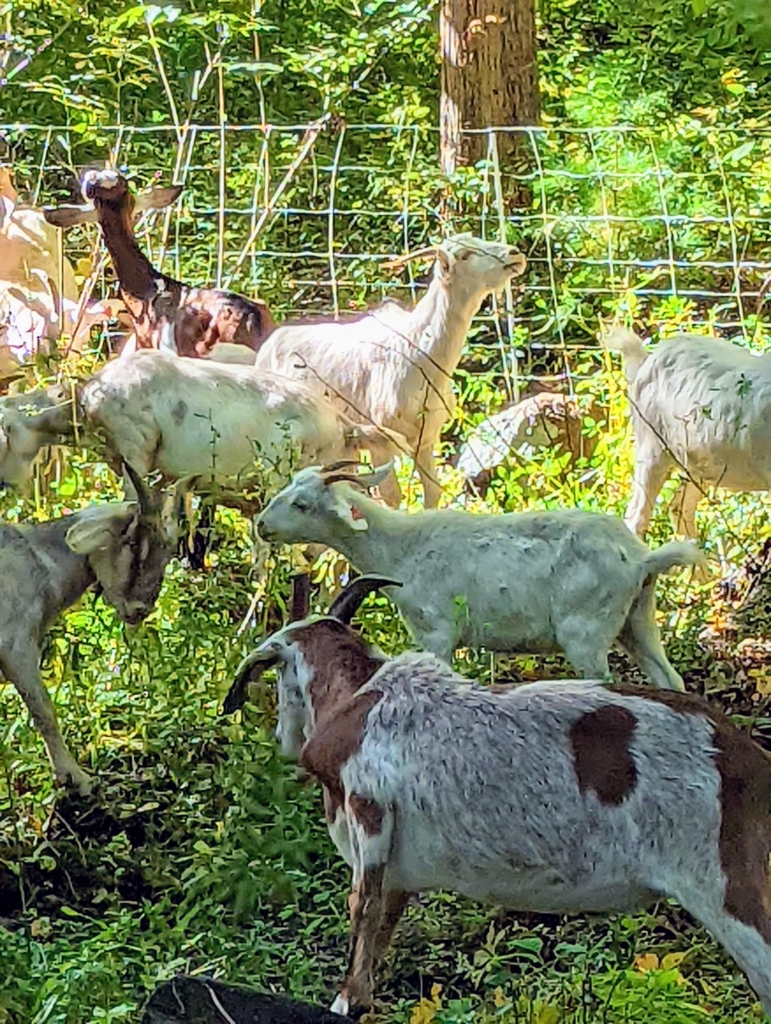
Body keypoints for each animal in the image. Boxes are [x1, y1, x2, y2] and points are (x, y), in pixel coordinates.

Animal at [0, 464, 174, 794]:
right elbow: (45, 712)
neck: (39, 560)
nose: (140, 609)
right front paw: (76, 777)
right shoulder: (16, 648)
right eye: (134, 544)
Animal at [226, 574, 771, 1017]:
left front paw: (346, 998)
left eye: (278, 673)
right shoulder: (401, 871)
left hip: (727, 889)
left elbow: (363, 914)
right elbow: (381, 931)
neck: (359, 699)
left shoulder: (371, 819)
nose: (281, 736)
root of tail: (744, 754)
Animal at [253, 234, 527, 507]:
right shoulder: (381, 441)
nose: (515, 253)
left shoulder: (426, 439)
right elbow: (391, 497)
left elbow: (433, 492)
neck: (417, 352)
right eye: (465, 255)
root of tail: (271, 341)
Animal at [255, 462, 706, 688]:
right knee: (670, 679)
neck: (401, 548)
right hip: (637, 620)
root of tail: (641, 560)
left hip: (587, 631)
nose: (261, 525)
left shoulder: (437, 631)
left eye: (302, 504)